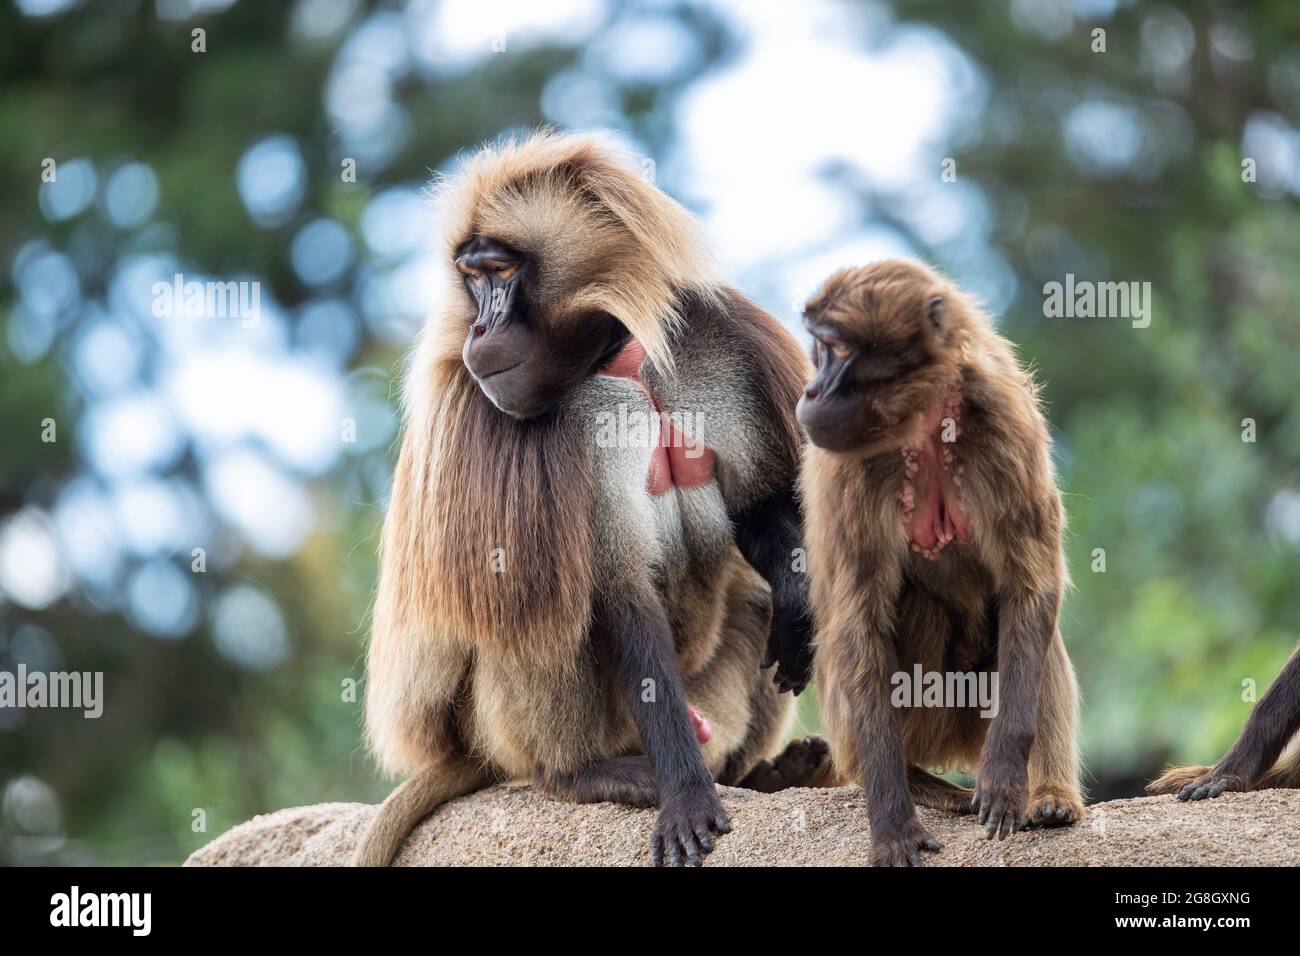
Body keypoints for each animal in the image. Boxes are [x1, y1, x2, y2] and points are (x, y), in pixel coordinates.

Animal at [353, 131, 829, 868]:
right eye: (471, 277)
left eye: (497, 270)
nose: (478, 332)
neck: (617, 357)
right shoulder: (519, 416)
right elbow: (614, 586)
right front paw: (686, 794)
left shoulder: (720, 340)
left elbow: (758, 507)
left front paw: (798, 606)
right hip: (521, 730)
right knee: (534, 596)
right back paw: (584, 773)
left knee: (750, 595)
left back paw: (762, 773)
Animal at [796, 259, 1084, 866]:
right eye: (819, 347)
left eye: (836, 348)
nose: (811, 390)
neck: (922, 422)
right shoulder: (846, 466)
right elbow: (858, 623)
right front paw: (892, 822)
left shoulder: (1005, 420)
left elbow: (1032, 582)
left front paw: (1005, 777)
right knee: (906, 611)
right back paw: (914, 781)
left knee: (1035, 629)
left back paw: (1049, 796)